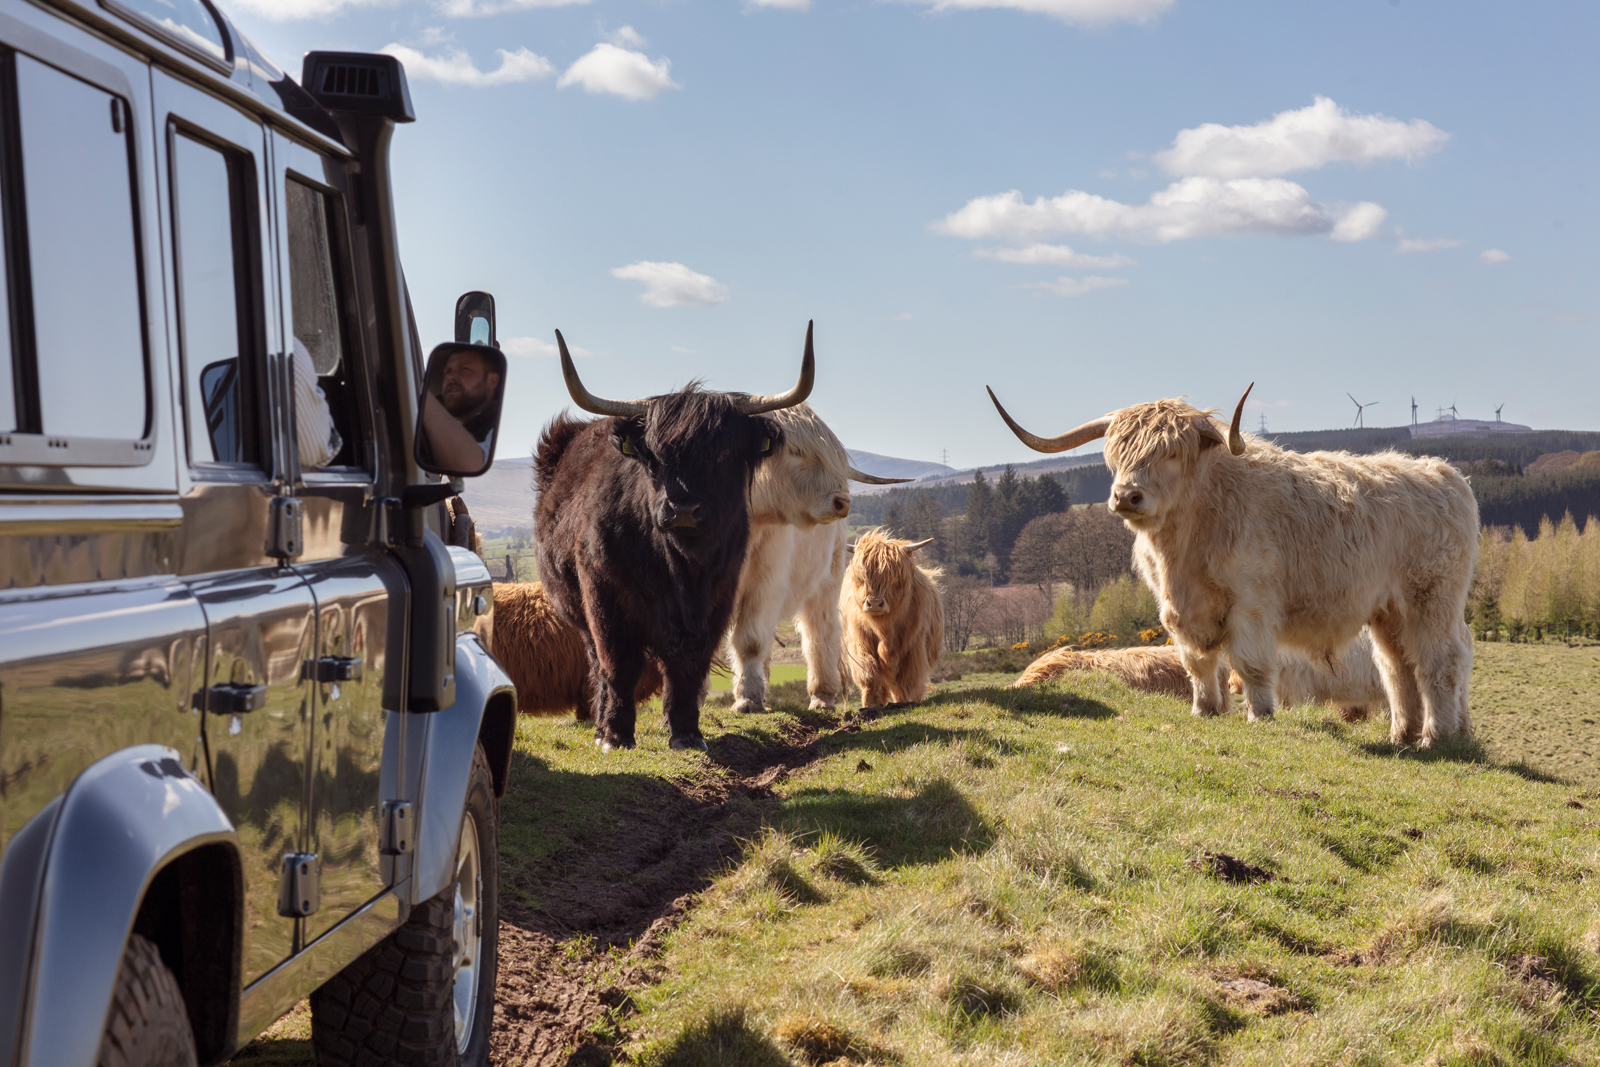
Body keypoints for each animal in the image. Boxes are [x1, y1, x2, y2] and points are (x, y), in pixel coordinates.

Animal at [535, 324, 815, 752]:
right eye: (654, 458)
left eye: (723, 454)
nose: (682, 509)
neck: (681, 566)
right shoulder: (603, 595)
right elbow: (619, 664)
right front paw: (615, 735)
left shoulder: (719, 595)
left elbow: (688, 665)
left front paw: (686, 732)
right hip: (577, 612)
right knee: (598, 665)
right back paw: (600, 725)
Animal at [727, 404, 908, 715]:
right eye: (796, 451)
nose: (842, 502)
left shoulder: (764, 581)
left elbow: (750, 639)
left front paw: (747, 699)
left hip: (825, 582)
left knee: (819, 633)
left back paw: (821, 696)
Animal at [839, 530, 944, 707]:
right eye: (862, 578)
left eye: (893, 578)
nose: (874, 604)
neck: (884, 630)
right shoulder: (860, 642)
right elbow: (869, 673)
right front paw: (871, 704)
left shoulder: (913, 647)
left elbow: (908, 680)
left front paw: (907, 701)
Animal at [987, 386, 1478, 747]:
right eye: (1116, 452)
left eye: (1170, 452)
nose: (1126, 495)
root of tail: (1447, 475)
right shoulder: (1177, 609)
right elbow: (1198, 663)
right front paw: (1204, 710)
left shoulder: (1252, 602)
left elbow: (1250, 663)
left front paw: (1259, 715)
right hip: (1388, 612)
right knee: (1398, 667)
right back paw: (1402, 735)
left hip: (1431, 600)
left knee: (1439, 663)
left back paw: (1435, 737)